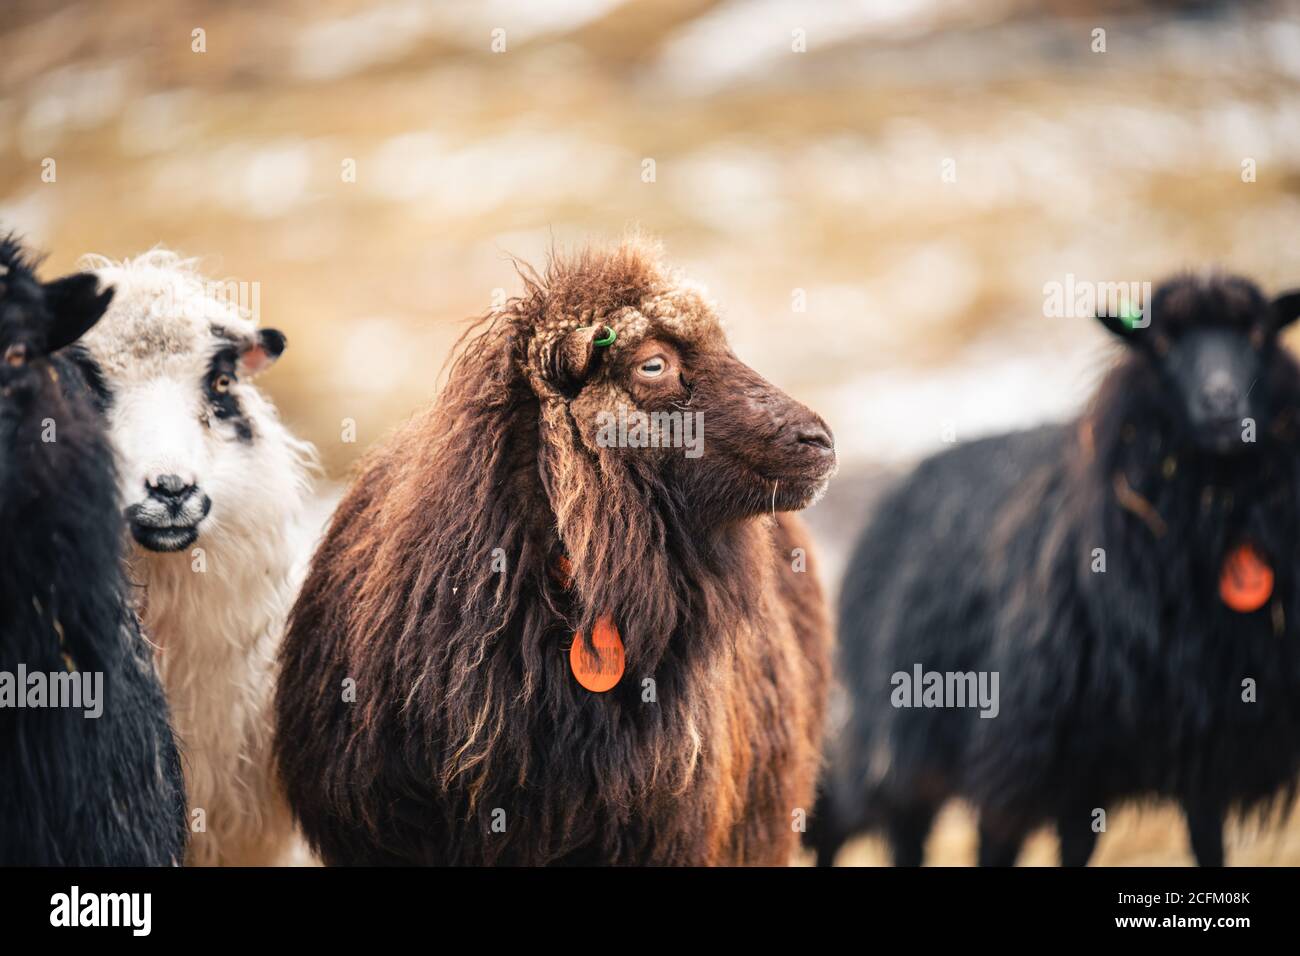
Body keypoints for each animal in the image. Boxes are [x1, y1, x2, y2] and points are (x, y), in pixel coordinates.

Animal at [813, 274, 1300, 867]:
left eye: (1258, 334)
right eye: (1160, 344)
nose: (1224, 406)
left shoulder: (1206, 754)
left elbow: (1208, 845)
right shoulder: (1055, 758)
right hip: (917, 742)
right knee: (906, 830)